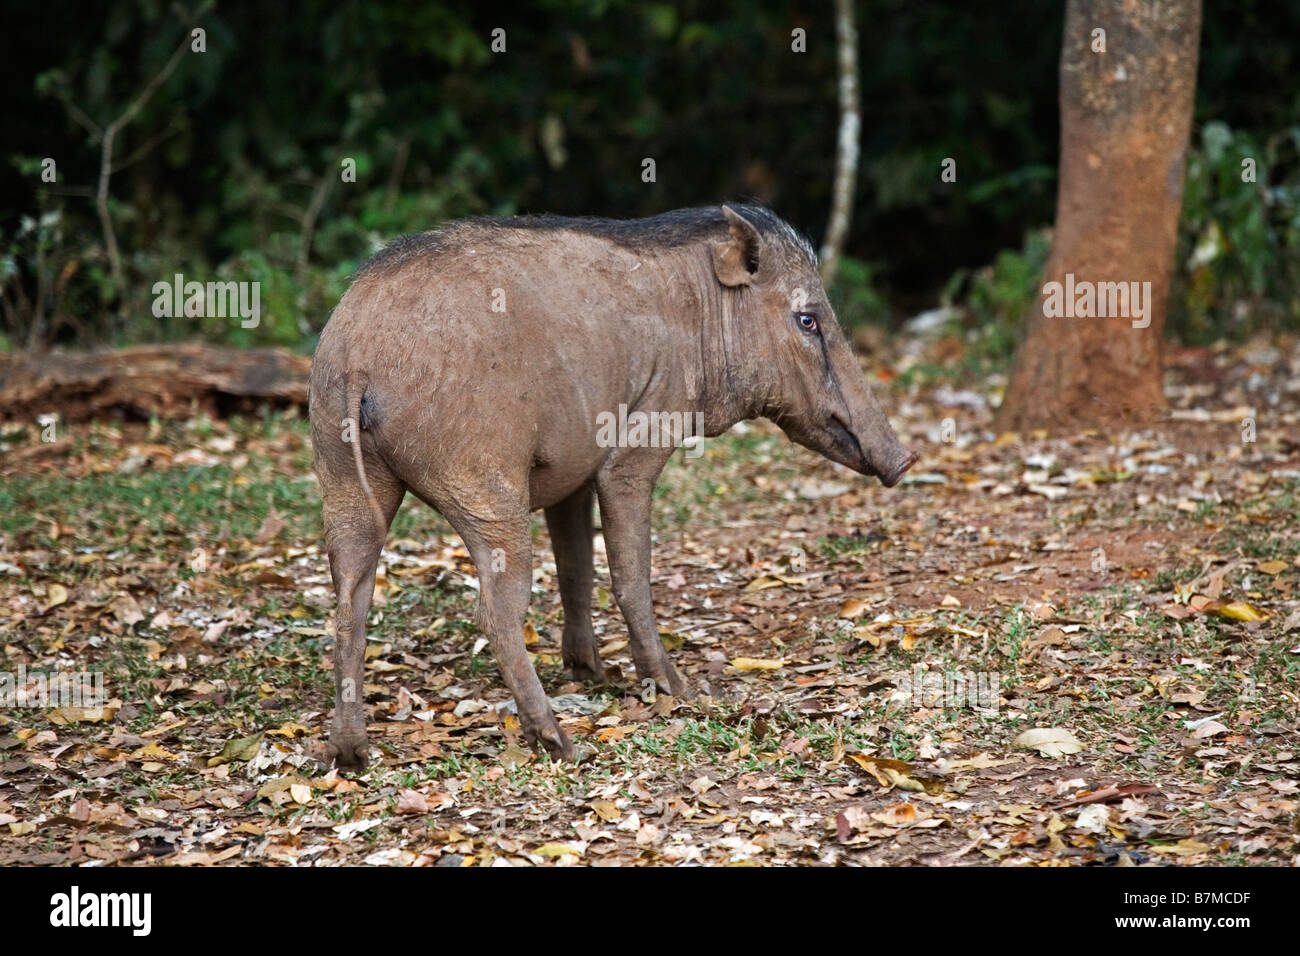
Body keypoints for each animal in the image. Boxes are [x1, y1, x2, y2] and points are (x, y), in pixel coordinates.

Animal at [310, 204, 916, 769]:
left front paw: (592, 674)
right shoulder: (631, 455)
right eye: (808, 319)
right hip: (484, 490)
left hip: (342, 484)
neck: (700, 310)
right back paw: (560, 742)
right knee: (495, 610)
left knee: (349, 602)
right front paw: (680, 691)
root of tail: (359, 356)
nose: (905, 460)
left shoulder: (570, 479)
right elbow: (629, 574)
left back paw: (351, 754)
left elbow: (576, 569)